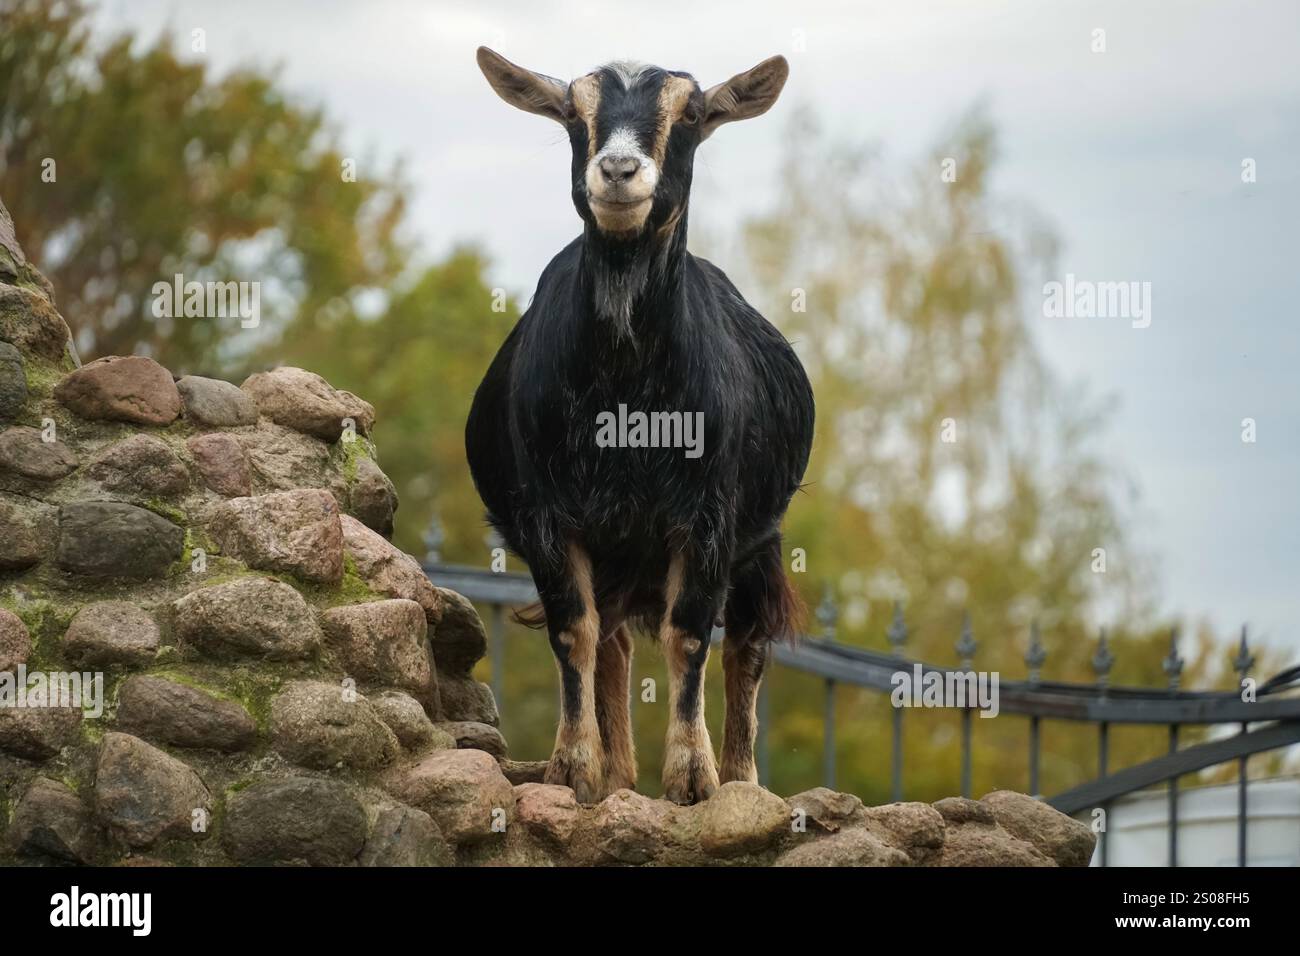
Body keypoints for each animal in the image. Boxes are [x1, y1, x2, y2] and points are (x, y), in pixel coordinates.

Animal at [466, 48, 815, 804]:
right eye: (573, 114)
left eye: (692, 114)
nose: (620, 170)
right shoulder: (549, 515)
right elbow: (575, 632)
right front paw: (574, 769)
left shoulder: (710, 515)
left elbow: (691, 636)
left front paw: (692, 777)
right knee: (614, 642)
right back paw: (617, 775)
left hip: (761, 541)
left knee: (747, 646)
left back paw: (741, 778)